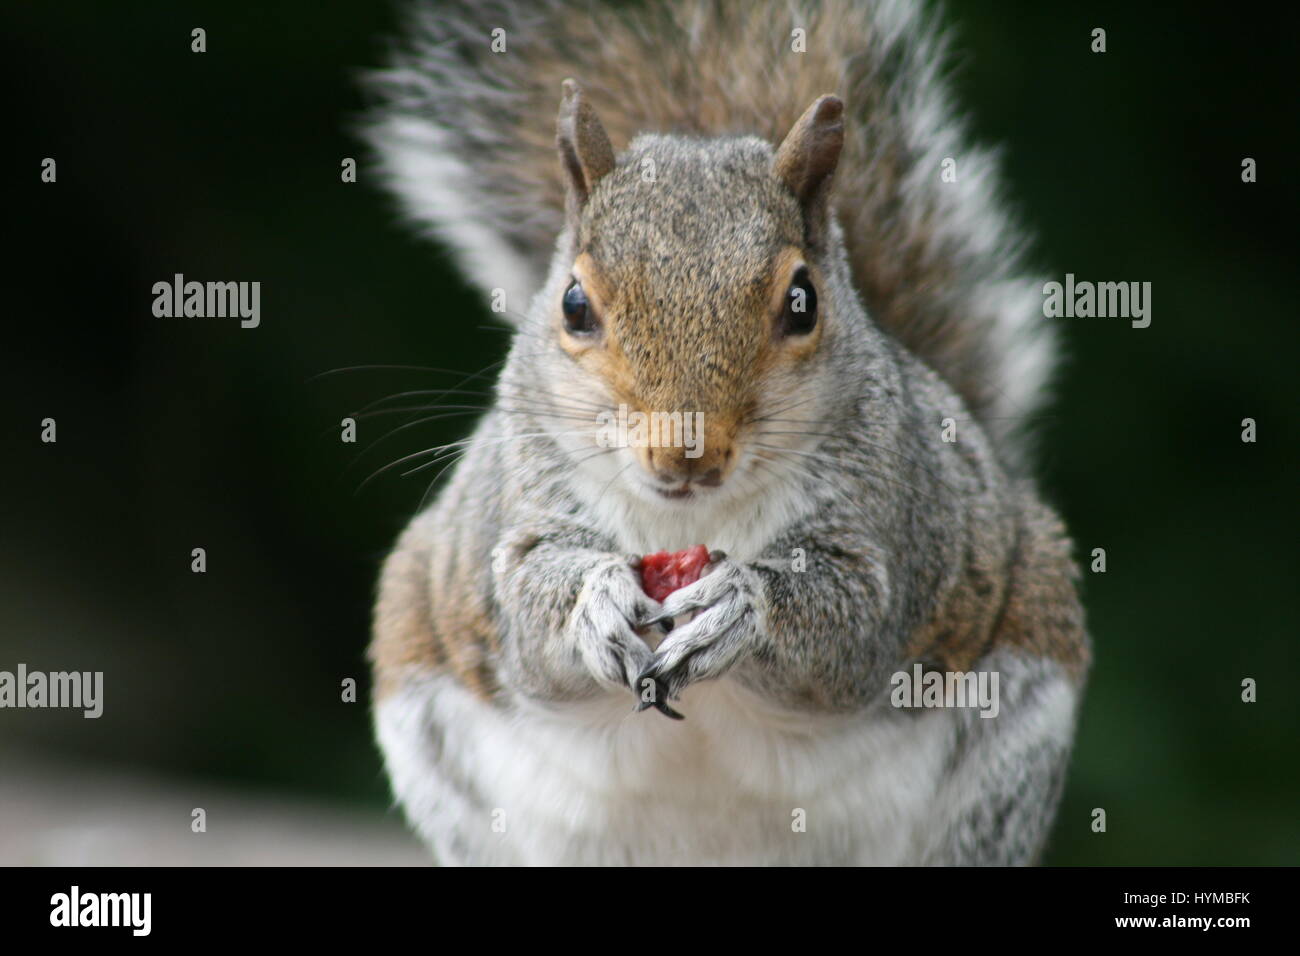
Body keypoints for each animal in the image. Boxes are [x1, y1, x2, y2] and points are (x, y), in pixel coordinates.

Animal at [364, 0, 1089, 865]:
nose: (687, 452)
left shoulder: (896, 520)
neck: (687, 518)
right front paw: (595, 601)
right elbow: (525, 602)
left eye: (803, 303)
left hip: (1006, 757)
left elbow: (853, 622)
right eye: (574, 304)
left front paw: (741, 606)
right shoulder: (510, 510)